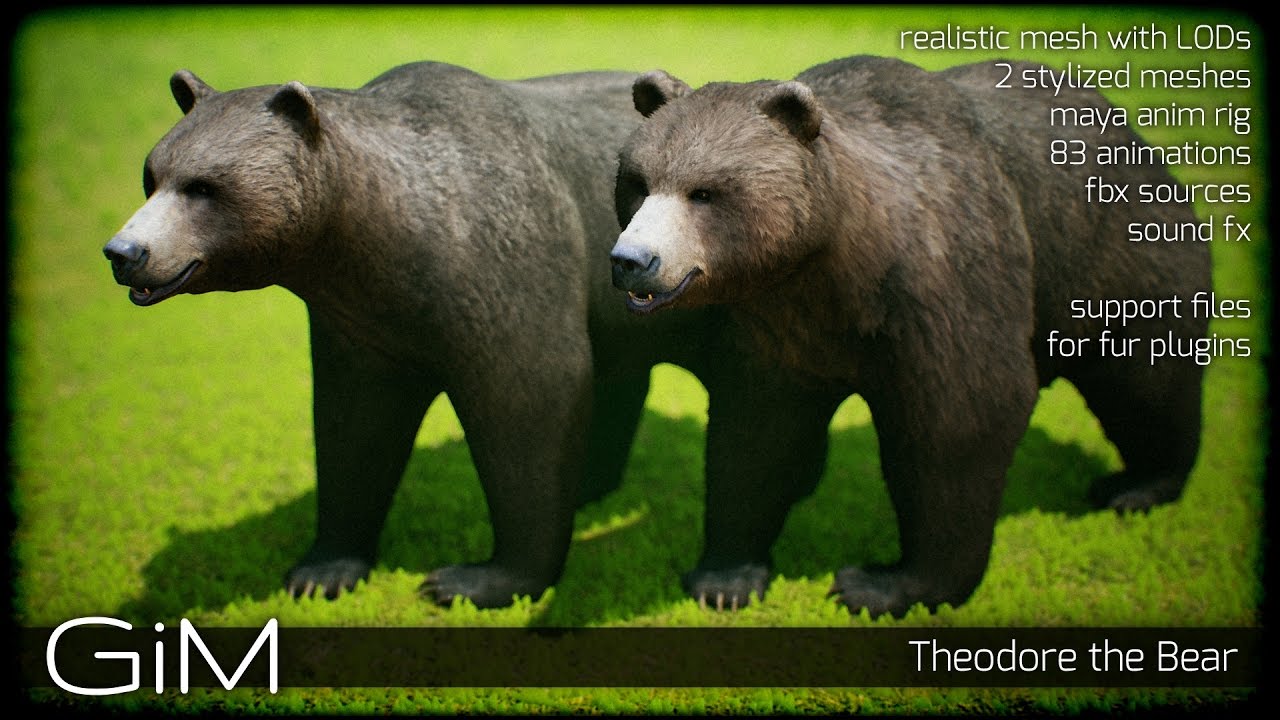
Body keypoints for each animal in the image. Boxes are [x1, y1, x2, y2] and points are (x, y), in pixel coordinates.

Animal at [103, 61, 820, 612]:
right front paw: (321, 568)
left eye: (203, 187)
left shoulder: (500, 260)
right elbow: (351, 425)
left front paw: (473, 577)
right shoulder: (361, 321)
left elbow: (529, 403)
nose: (125, 252)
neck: (379, 236)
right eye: (152, 174)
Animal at [608, 56, 1211, 618]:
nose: (632, 260)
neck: (839, 260)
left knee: (1147, 380)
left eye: (703, 192)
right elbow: (755, 430)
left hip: (1120, 258)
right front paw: (724, 578)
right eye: (638, 183)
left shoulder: (942, 280)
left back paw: (1137, 484)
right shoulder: (780, 326)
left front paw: (881, 583)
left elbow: (960, 422)